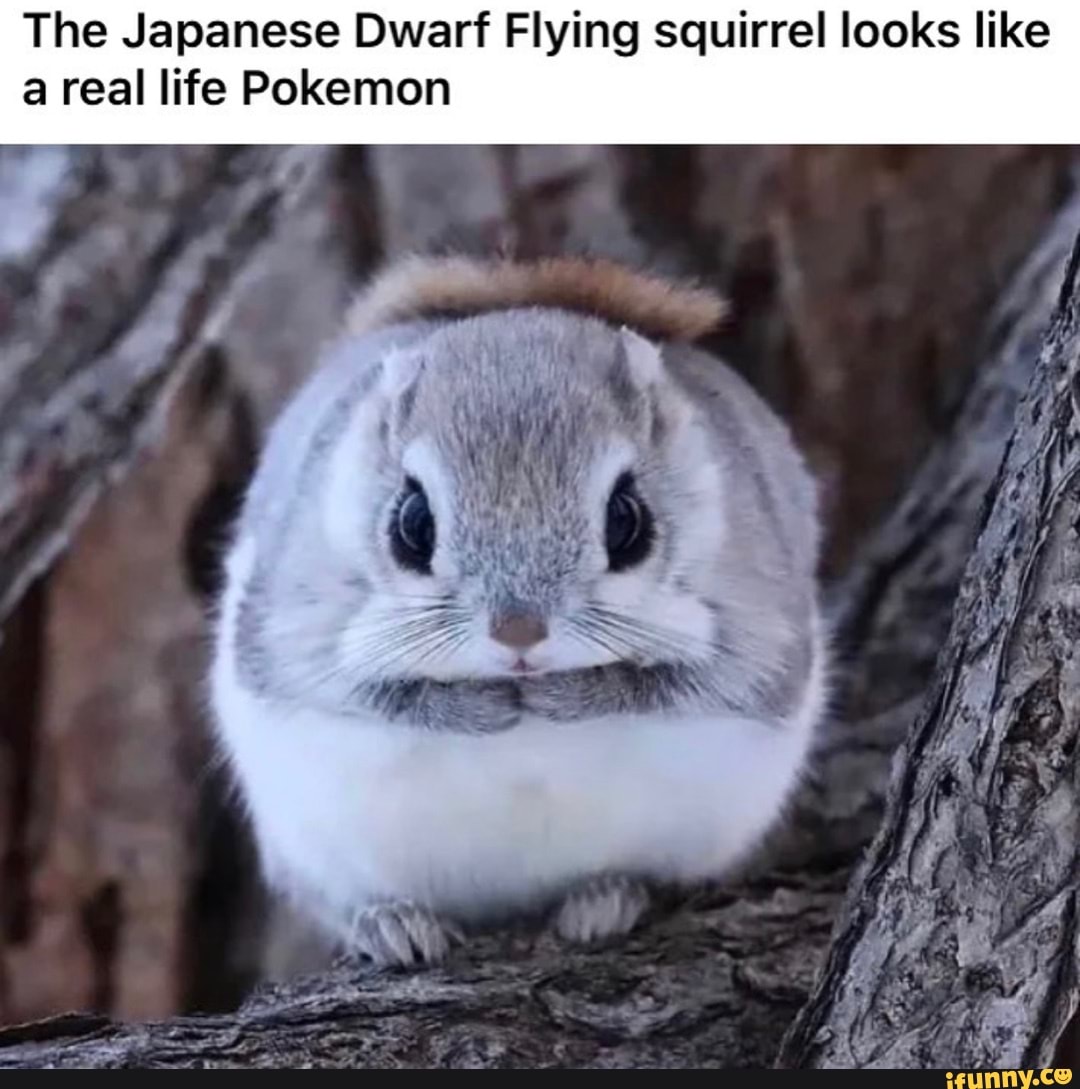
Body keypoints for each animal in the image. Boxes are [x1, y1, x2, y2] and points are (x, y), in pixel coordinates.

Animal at [210, 254, 828, 967]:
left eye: (628, 522)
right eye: (411, 524)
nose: (519, 633)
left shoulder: (756, 625)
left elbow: (687, 684)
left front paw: (570, 695)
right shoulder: (298, 625)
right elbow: (365, 692)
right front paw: (480, 706)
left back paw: (608, 899)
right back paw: (390, 924)